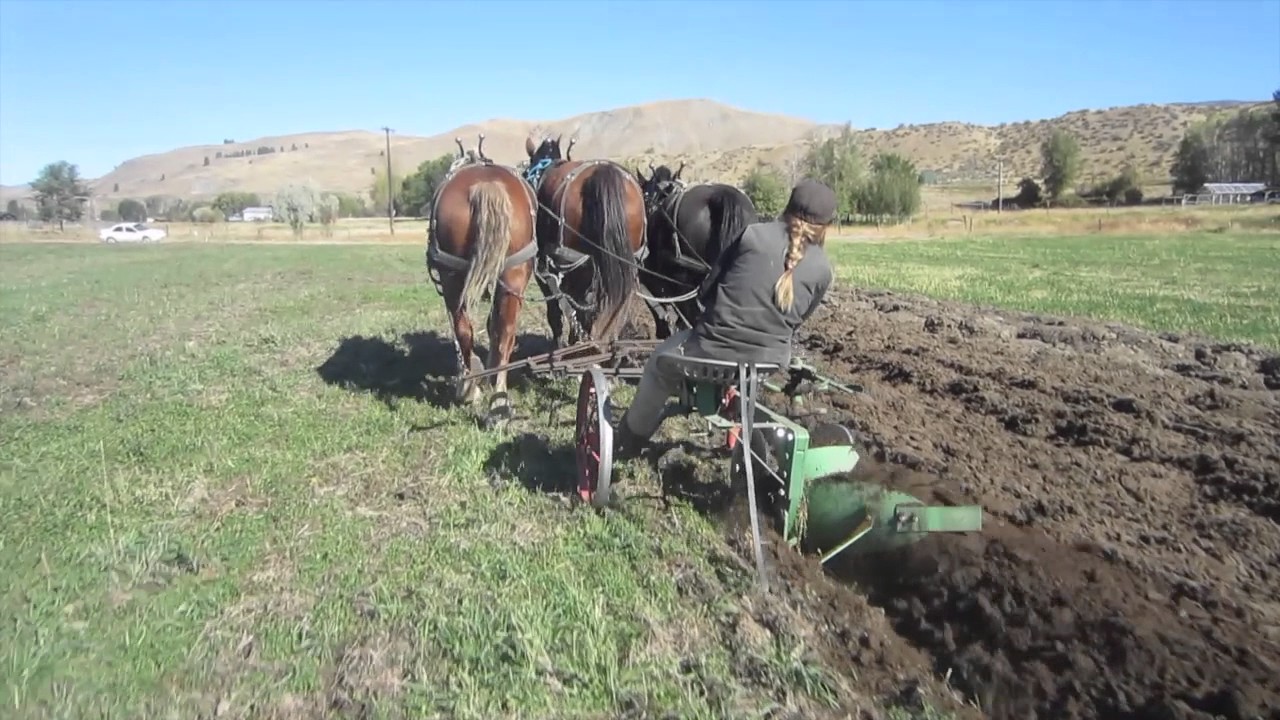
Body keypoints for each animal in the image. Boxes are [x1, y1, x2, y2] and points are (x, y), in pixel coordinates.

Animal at [426, 133, 539, 426]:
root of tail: (487, 185)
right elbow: (494, 327)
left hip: (452, 277)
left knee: (464, 328)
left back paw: (470, 387)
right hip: (513, 272)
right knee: (503, 330)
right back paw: (497, 396)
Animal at [633, 162, 758, 339]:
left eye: (645, 196)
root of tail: (720, 196)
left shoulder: (652, 276)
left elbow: (657, 304)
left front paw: (666, 330)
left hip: (683, 276)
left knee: (693, 315)